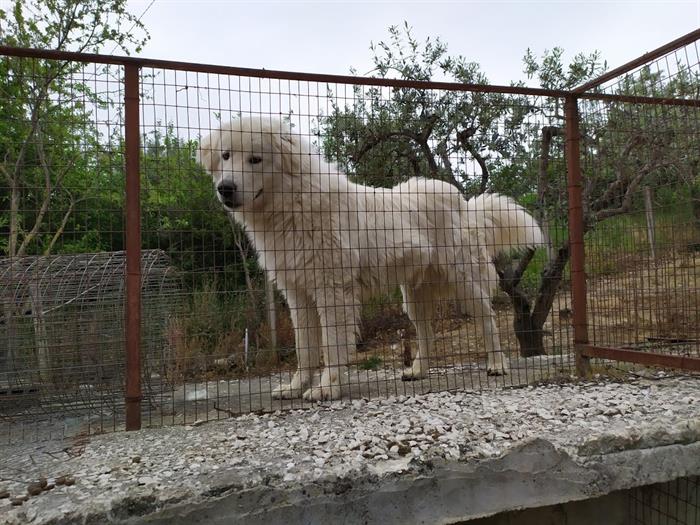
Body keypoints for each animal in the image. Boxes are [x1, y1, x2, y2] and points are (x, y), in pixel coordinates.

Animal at [200, 116, 544, 400]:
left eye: (255, 159)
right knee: (427, 333)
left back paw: (497, 363)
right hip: (413, 297)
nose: (225, 188)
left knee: (487, 318)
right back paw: (418, 370)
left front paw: (327, 387)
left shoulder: (333, 292)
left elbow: (332, 345)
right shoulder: (297, 294)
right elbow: (305, 349)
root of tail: (465, 204)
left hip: (464, 282)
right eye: (226, 155)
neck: (291, 206)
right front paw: (296, 387)